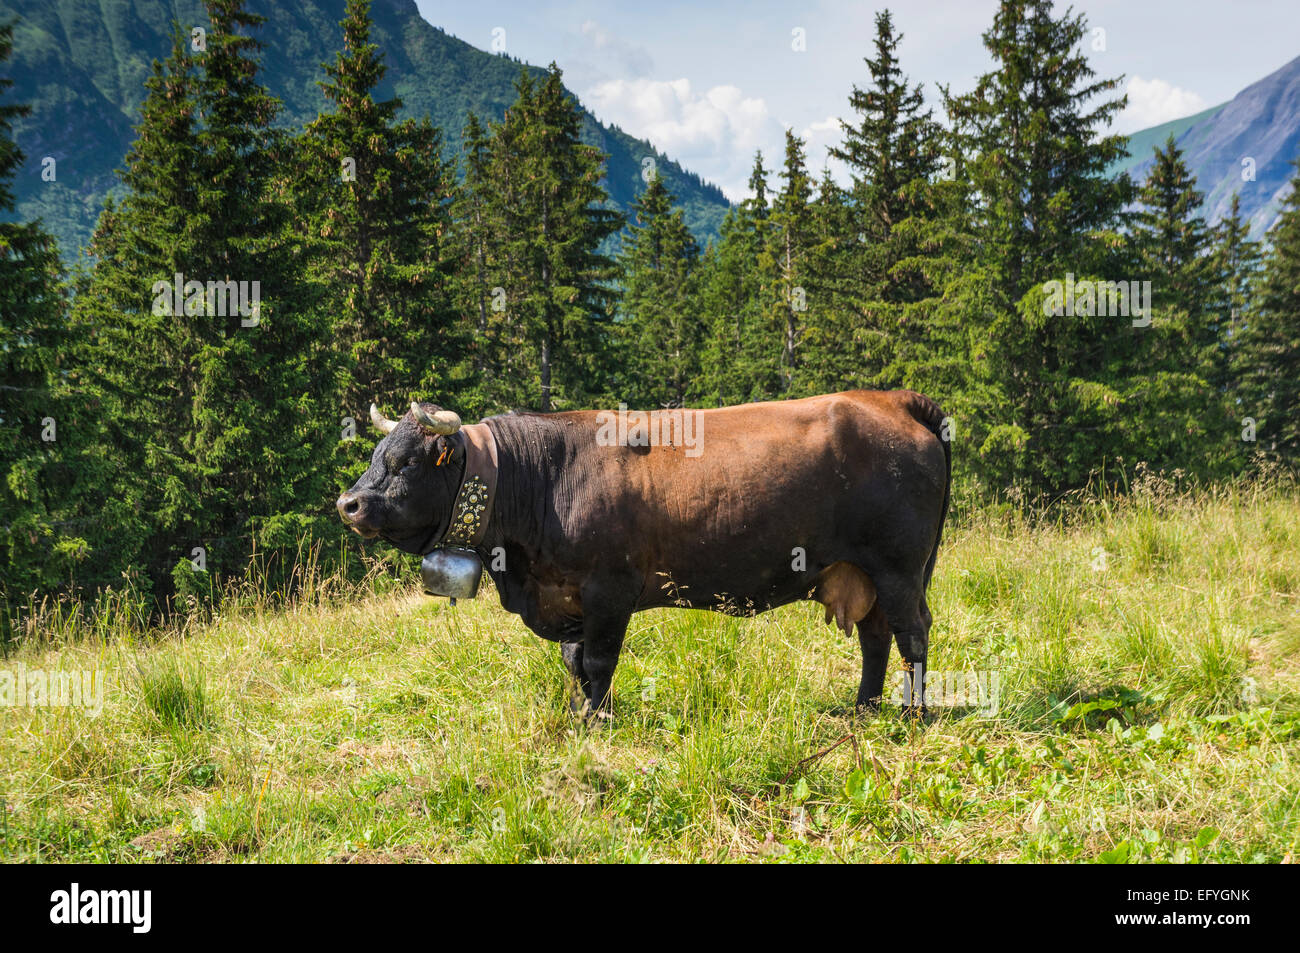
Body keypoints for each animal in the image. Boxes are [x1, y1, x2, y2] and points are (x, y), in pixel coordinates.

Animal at [337, 390, 951, 718]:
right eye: (375, 453)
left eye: (406, 462)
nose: (348, 503)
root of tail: (891, 399)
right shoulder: (569, 598)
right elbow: (574, 663)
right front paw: (588, 714)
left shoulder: (609, 590)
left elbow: (598, 661)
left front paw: (595, 722)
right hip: (864, 573)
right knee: (876, 637)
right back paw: (863, 708)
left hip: (899, 568)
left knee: (913, 632)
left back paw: (913, 713)